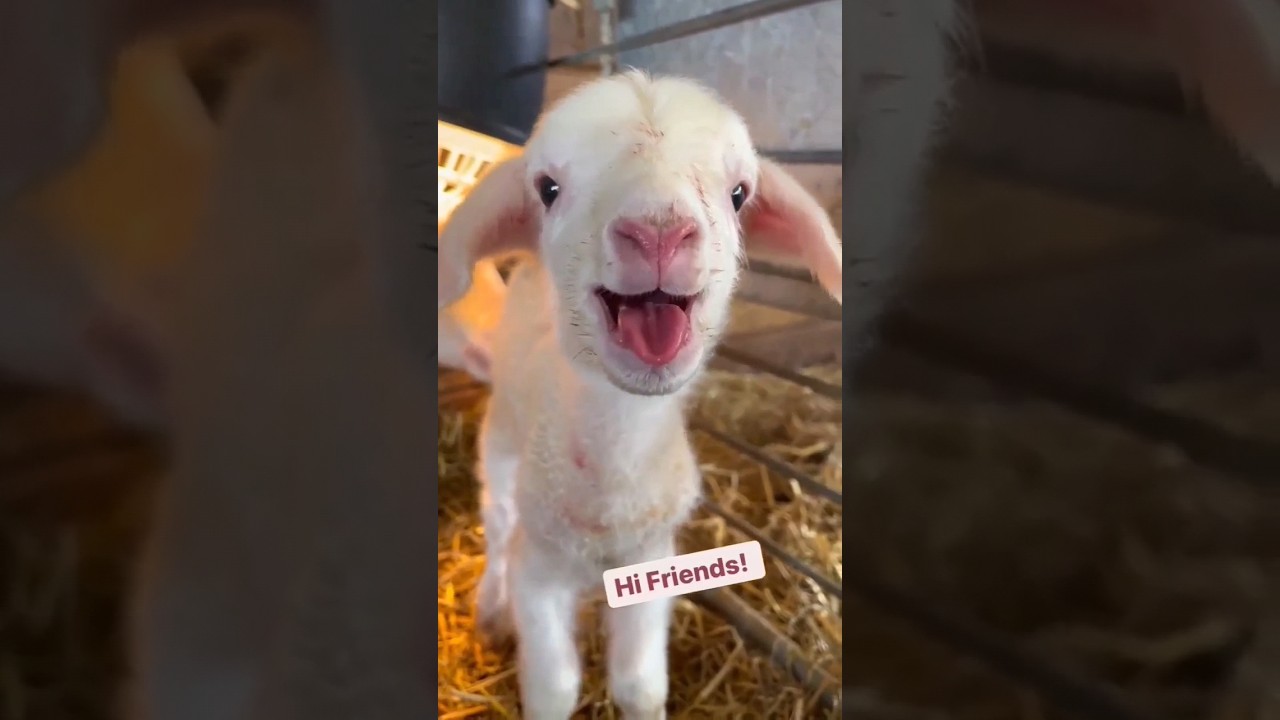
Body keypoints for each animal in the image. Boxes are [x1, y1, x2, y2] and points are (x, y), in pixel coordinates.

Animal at [436, 69, 844, 719]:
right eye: (548, 188)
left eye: (738, 194)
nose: (658, 233)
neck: (613, 488)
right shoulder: (540, 572)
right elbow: (553, 689)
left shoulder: (652, 561)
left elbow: (639, 686)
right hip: (501, 450)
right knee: (498, 530)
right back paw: (491, 609)